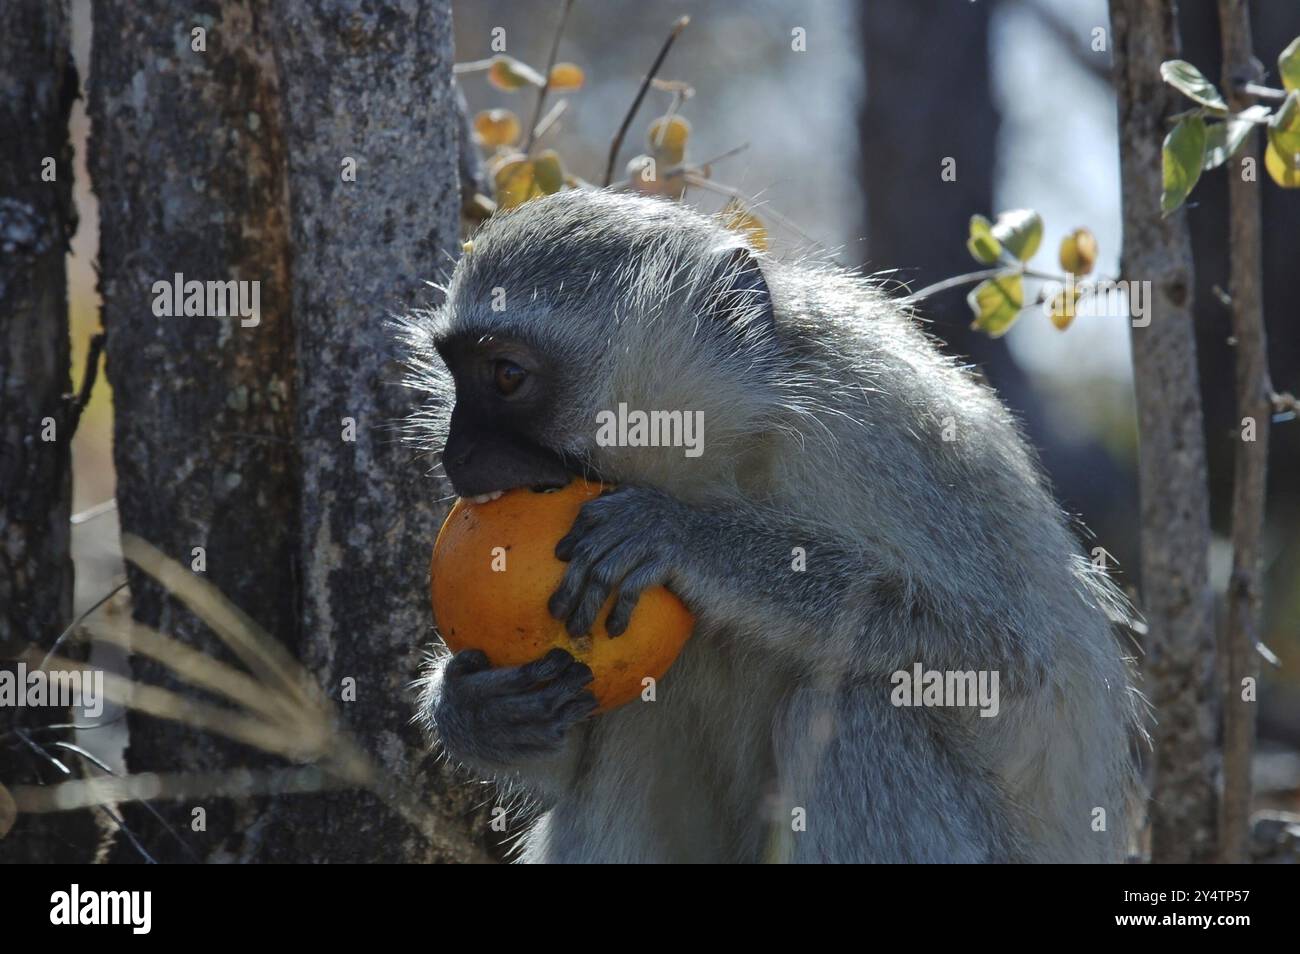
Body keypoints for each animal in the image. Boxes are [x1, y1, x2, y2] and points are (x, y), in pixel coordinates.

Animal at [402, 189, 1142, 864]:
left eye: (505, 375)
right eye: (456, 374)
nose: (454, 454)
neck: (731, 453)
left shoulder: (884, 436)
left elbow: (1005, 657)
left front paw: (686, 539)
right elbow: (570, 750)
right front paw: (474, 711)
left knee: (861, 709)